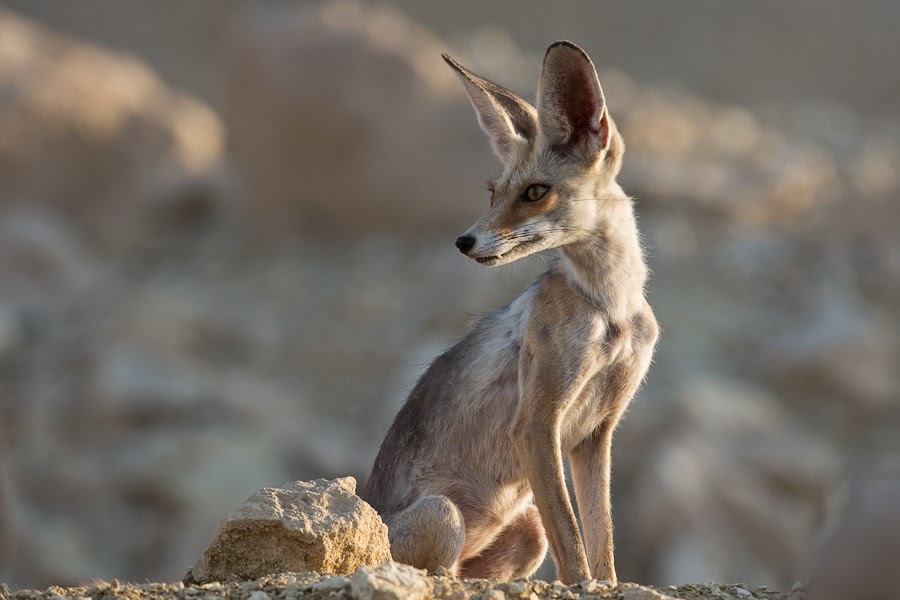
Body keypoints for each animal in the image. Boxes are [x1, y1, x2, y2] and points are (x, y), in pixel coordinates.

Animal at [361, 40, 658, 584]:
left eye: (536, 192)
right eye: (493, 193)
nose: (463, 241)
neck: (610, 309)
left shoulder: (597, 432)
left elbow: (601, 538)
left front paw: (606, 584)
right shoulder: (537, 423)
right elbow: (573, 541)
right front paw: (583, 585)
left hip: (526, 534)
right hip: (443, 516)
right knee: (437, 572)